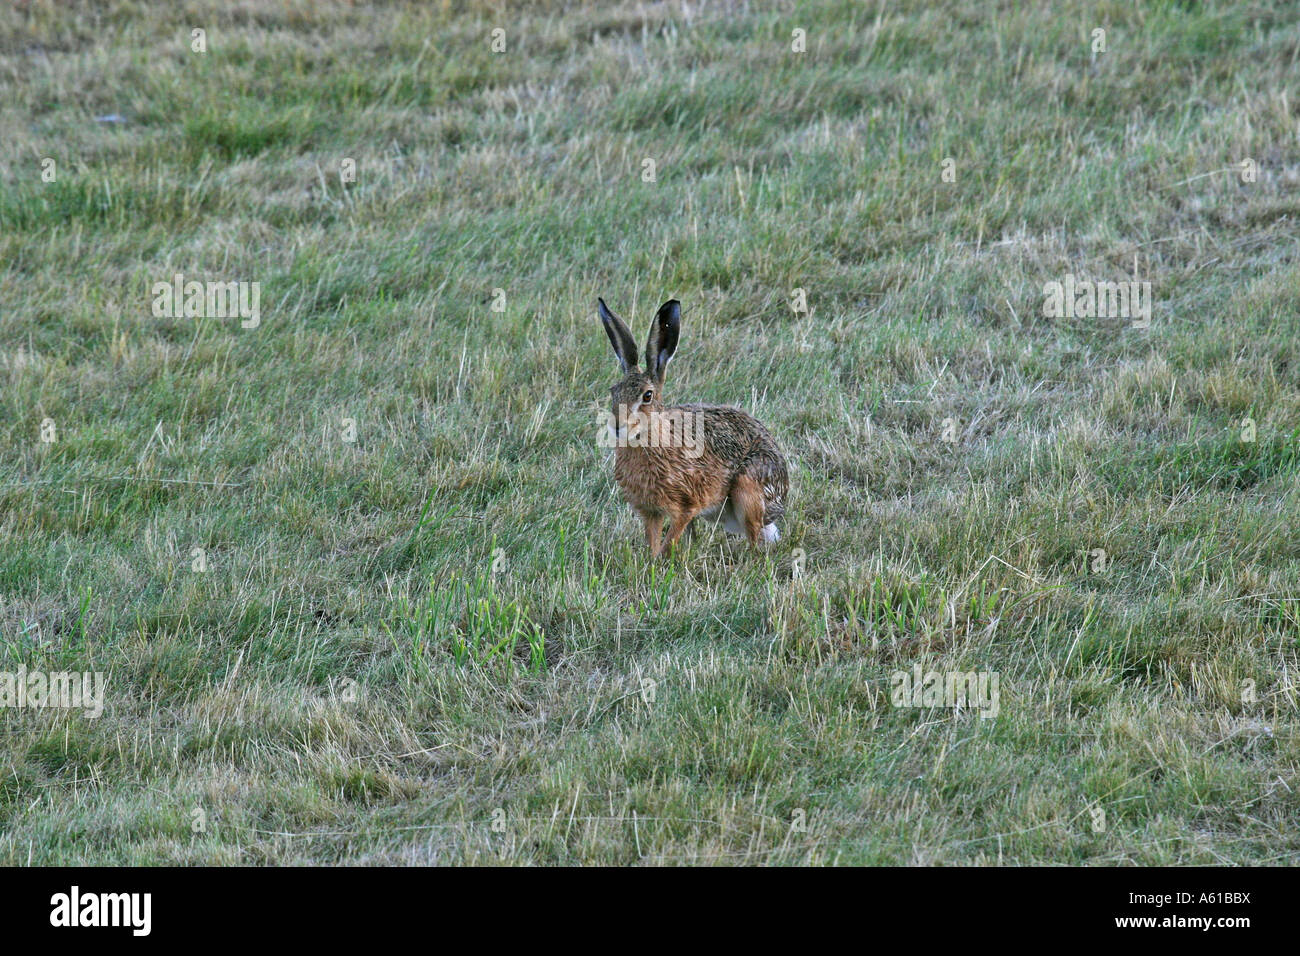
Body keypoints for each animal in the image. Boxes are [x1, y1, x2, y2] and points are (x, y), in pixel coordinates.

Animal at [598, 297, 789, 557]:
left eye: (647, 396)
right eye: (613, 392)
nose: (617, 426)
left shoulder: (686, 505)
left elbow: (670, 540)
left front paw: (661, 561)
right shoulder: (650, 511)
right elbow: (653, 541)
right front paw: (650, 561)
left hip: (748, 490)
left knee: (755, 540)